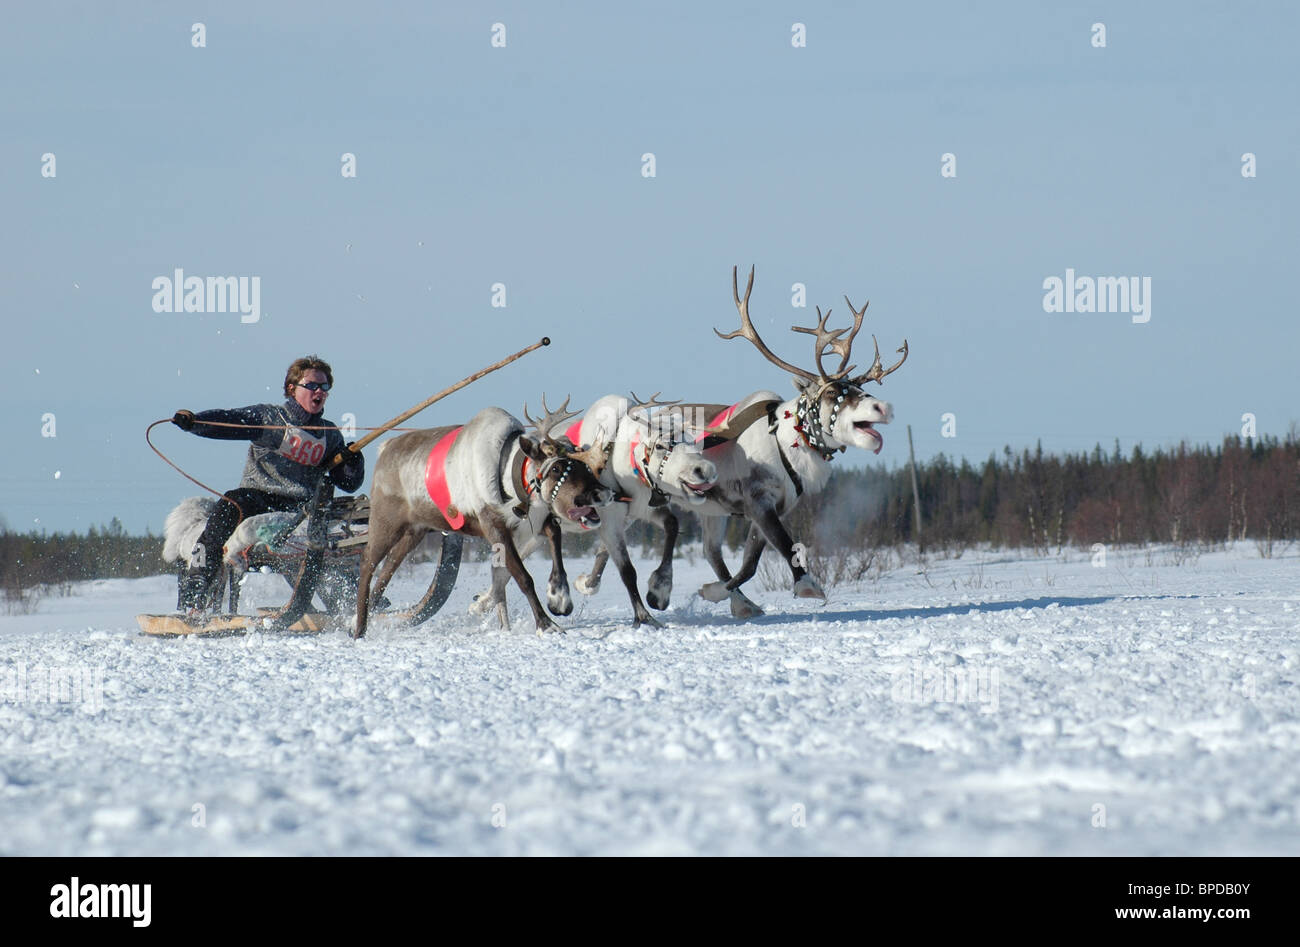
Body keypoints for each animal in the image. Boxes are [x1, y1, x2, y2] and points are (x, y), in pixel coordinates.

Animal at [353, 399, 614, 638]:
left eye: (583, 465)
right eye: (556, 468)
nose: (604, 493)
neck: (510, 479)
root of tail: (384, 448)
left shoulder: (539, 523)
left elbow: (555, 552)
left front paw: (559, 599)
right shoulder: (493, 526)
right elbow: (523, 577)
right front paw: (546, 624)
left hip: (415, 531)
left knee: (387, 569)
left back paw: (359, 618)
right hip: (386, 523)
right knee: (367, 563)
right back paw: (359, 629)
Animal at [579, 265, 908, 619]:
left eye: (860, 389)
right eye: (832, 391)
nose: (882, 407)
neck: (785, 443)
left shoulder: (769, 508)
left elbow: (749, 563)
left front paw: (719, 593)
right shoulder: (759, 502)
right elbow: (782, 548)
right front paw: (807, 585)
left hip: (707, 510)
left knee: (705, 551)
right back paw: (593, 584)